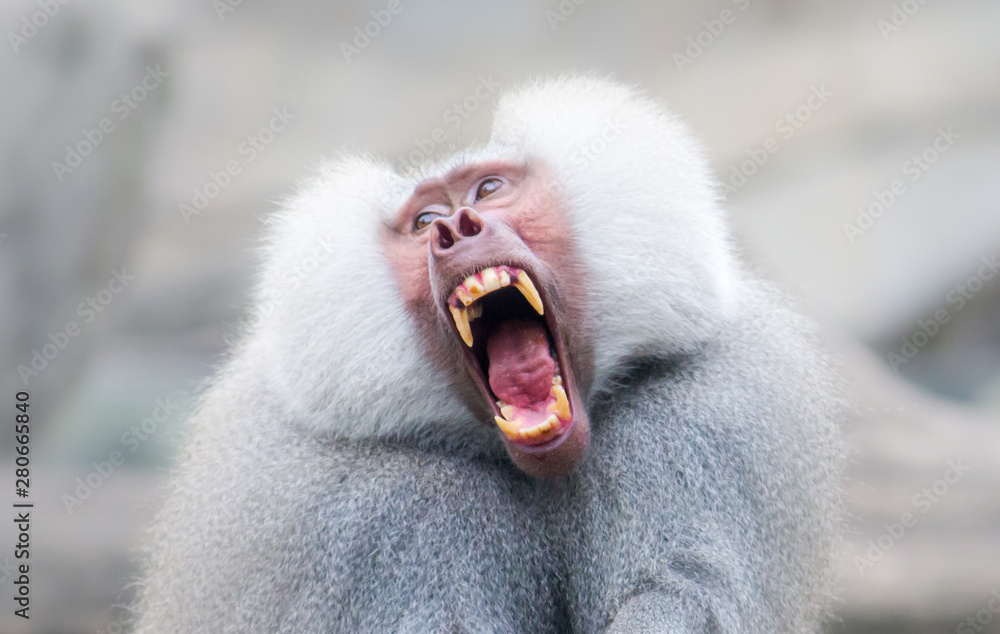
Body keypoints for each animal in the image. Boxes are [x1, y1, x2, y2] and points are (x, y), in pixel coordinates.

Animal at [134, 76, 843, 633]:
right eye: (424, 222)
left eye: (489, 189)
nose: (455, 231)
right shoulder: (378, 517)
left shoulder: (689, 428)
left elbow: (679, 592)